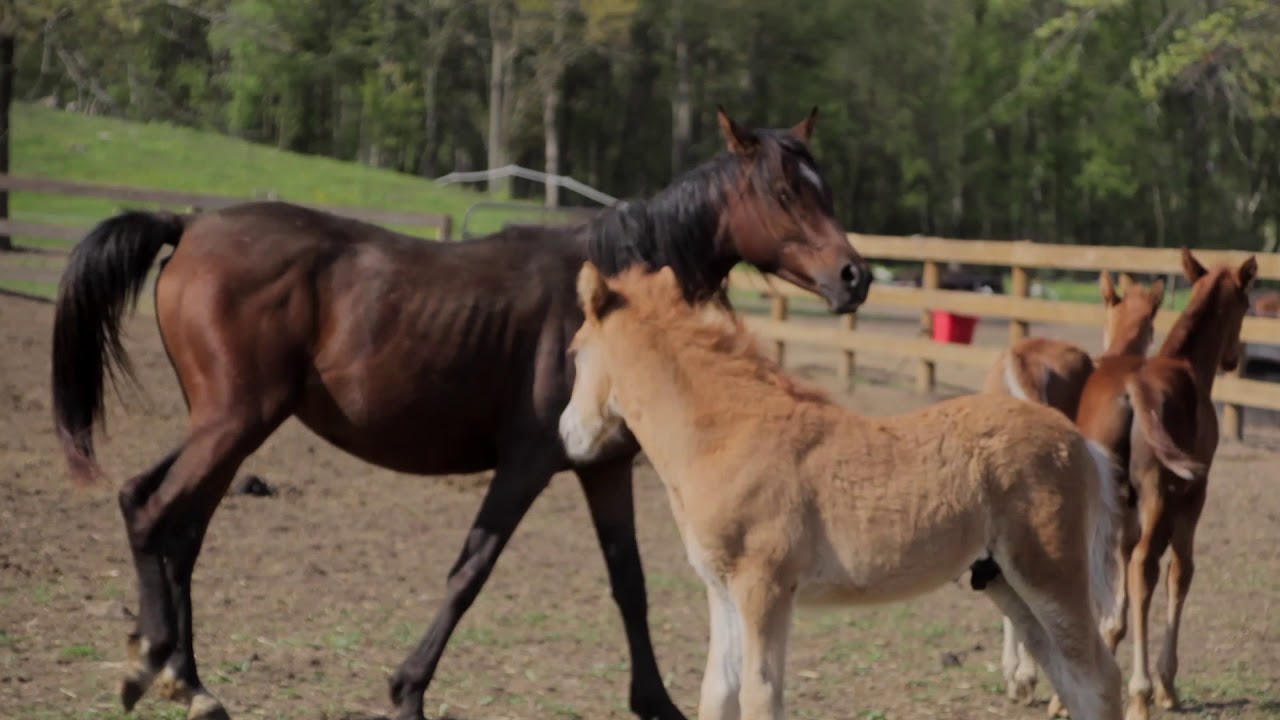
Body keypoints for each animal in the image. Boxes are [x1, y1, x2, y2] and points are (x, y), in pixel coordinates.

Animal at [49, 107, 873, 720]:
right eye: (784, 191)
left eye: (825, 187)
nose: (854, 276)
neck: (604, 302)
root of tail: (189, 226)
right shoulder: (528, 462)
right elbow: (471, 569)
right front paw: (408, 689)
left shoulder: (603, 469)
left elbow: (629, 584)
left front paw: (657, 704)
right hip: (233, 421)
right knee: (157, 512)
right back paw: (159, 669)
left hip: (227, 426)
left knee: (170, 521)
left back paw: (187, 677)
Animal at [559, 261, 1126, 720]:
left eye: (575, 352)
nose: (569, 435)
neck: (729, 434)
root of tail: (1079, 442)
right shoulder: (721, 592)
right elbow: (717, 694)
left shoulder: (764, 587)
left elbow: (759, 695)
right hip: (1005, 583)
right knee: (1070, 678)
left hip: (1049, 574)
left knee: (1100, 679)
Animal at [1075, 248, 1257, 720]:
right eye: (1246, 305)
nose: (1233, 358)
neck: (1185, 365)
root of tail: (1134, 393)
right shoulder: (1193, 496)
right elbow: (1181, 571)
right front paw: (1166, 684)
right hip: (1159, 495)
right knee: (1145, 568)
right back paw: (1140, 693)